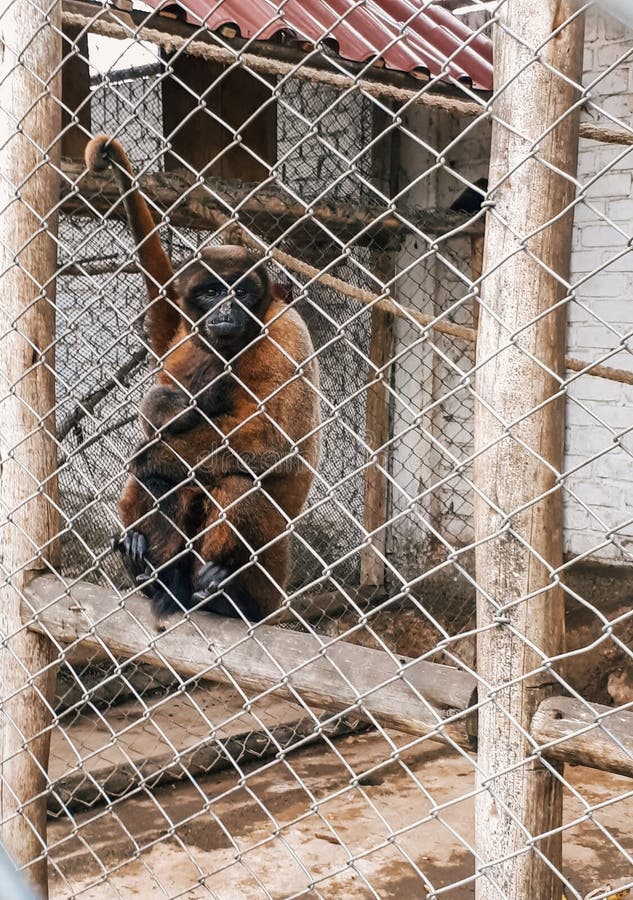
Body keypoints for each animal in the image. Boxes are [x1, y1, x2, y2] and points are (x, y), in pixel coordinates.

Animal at [85, 135, 320, 623]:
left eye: (240, 291)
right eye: (213, 291)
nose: (227, 309)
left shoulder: (284, 333)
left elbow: (278, 446)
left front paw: (155, 452)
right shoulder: (185, 335)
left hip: (272, 577)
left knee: (236, 479)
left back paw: (225, 591)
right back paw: (152, 571)